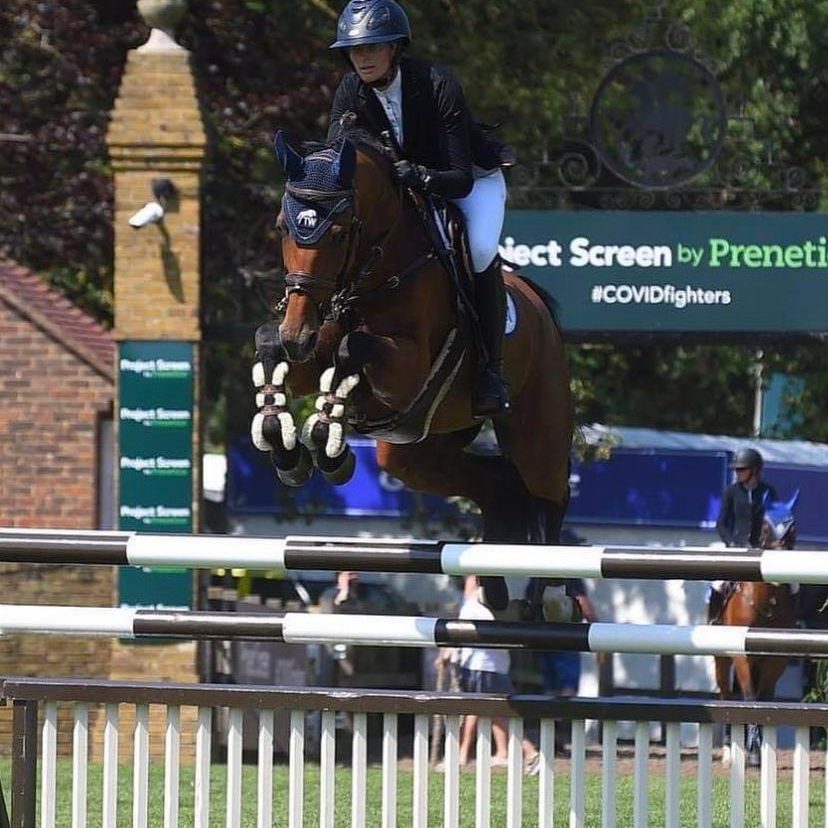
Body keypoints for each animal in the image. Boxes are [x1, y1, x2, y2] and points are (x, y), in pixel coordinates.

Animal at [250, 129, 573, 612]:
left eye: (339, 233)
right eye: (283, 227)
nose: (297, 334)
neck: (376, 271)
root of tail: (542, 312)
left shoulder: (405, 372)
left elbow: (352, 349)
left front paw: (328, 442)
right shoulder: (311, 350)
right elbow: (271, 343)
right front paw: (286, 445)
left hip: (536, 433)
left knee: (550, 489)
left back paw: (552, 594)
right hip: (415, 451)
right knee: (497, 483)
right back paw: (494, 588)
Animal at [713, 491, 799, 762]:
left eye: (793, 528)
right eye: (764, 527)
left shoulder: (774, 661)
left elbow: (764, 698)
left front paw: (758, 751)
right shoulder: (742, 656)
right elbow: (750, 697)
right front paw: (751, 747)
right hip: (721, 659)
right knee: (726, 696)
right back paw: (728, 750)